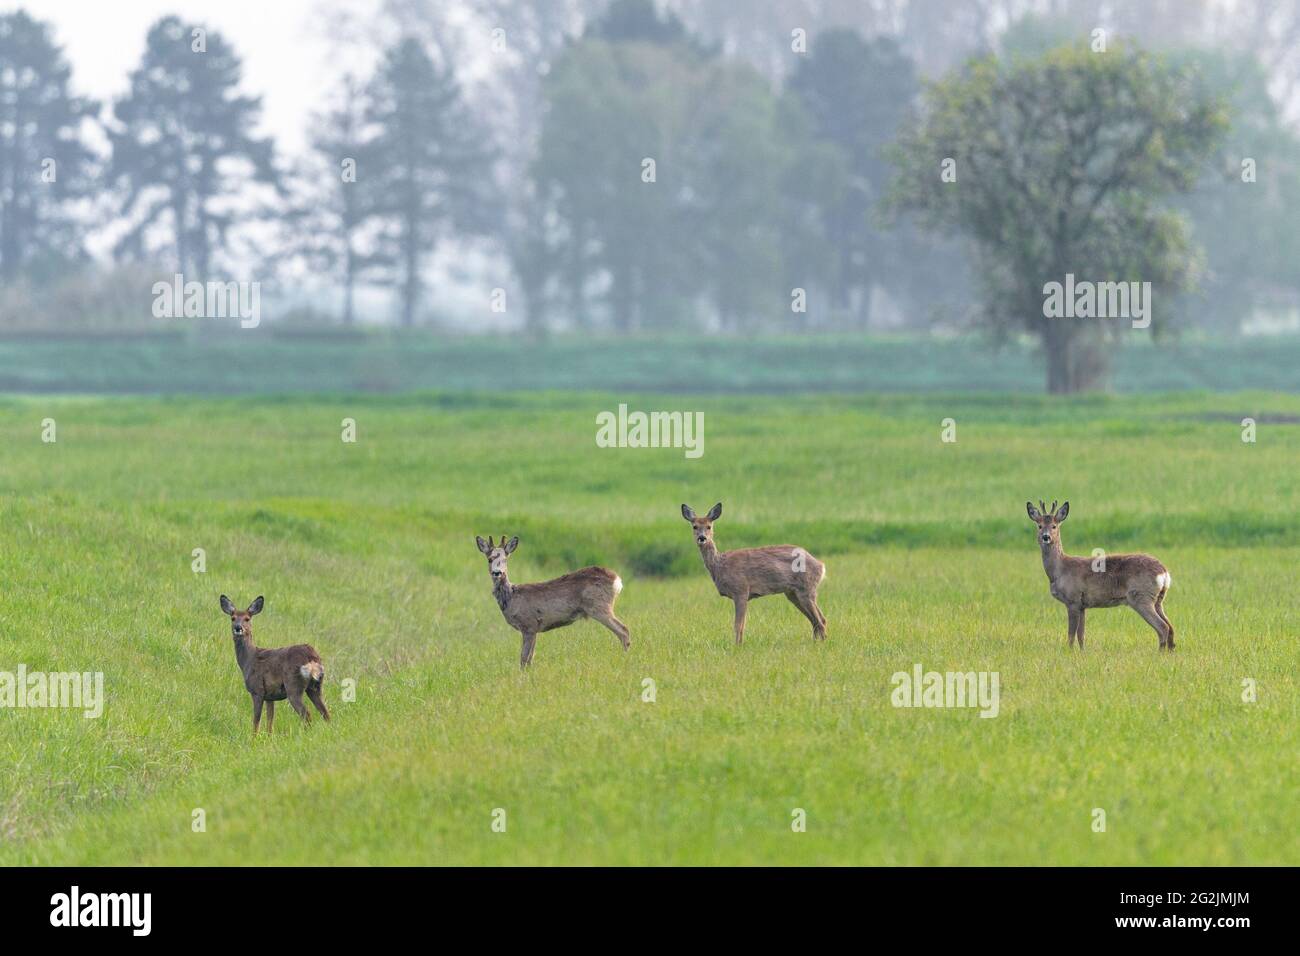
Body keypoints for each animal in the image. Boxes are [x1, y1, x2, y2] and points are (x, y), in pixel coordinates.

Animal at [220, 595, 330, 733]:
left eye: (247, 618)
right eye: (233, 618)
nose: (238, 627)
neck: (248, 660)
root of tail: (312, 657)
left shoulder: (257, 690)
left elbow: (256, 721)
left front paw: (254, 737)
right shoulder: (270, 697)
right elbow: (269, 723)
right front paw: (268, 736)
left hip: (293, 686)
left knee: (307, 714)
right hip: (316, 686)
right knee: (326, 713)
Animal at [475, 535, 630, 668]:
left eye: (505, 559)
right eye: (489, 559)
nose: (497, 572)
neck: (511, 596)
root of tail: (617, 580)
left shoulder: (529, 625)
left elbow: (524, 659)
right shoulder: (535, 629)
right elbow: (530, 658)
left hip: (599, 606)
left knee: (623, 630)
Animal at [681, 502, 827, 645]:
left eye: (709, 526)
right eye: (694, 526)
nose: (702, 538)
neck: (720, 566)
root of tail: (821, 565)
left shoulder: (741, 590)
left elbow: (738, 625)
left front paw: (736, 646)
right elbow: (743, 625)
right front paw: (740, 644)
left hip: (806, 588)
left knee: (820, 620)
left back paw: (821, 643)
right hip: (792, 593)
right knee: (816, 620)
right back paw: (816, 642)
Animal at [1026, 500, 1175, 650]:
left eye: (1054, 526)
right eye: (1039, 525)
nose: (1046, 537)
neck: (1059, 570)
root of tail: (1164, 572)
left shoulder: (1073, 600)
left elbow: (1071, 635)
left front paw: (1069, 651)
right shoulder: (1082, 605)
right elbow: (1081, 635)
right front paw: (1082, 652)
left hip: (1141, 596)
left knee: (1163, 627)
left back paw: (1160, 653)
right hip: (1158, 599)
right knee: (1170, 627)